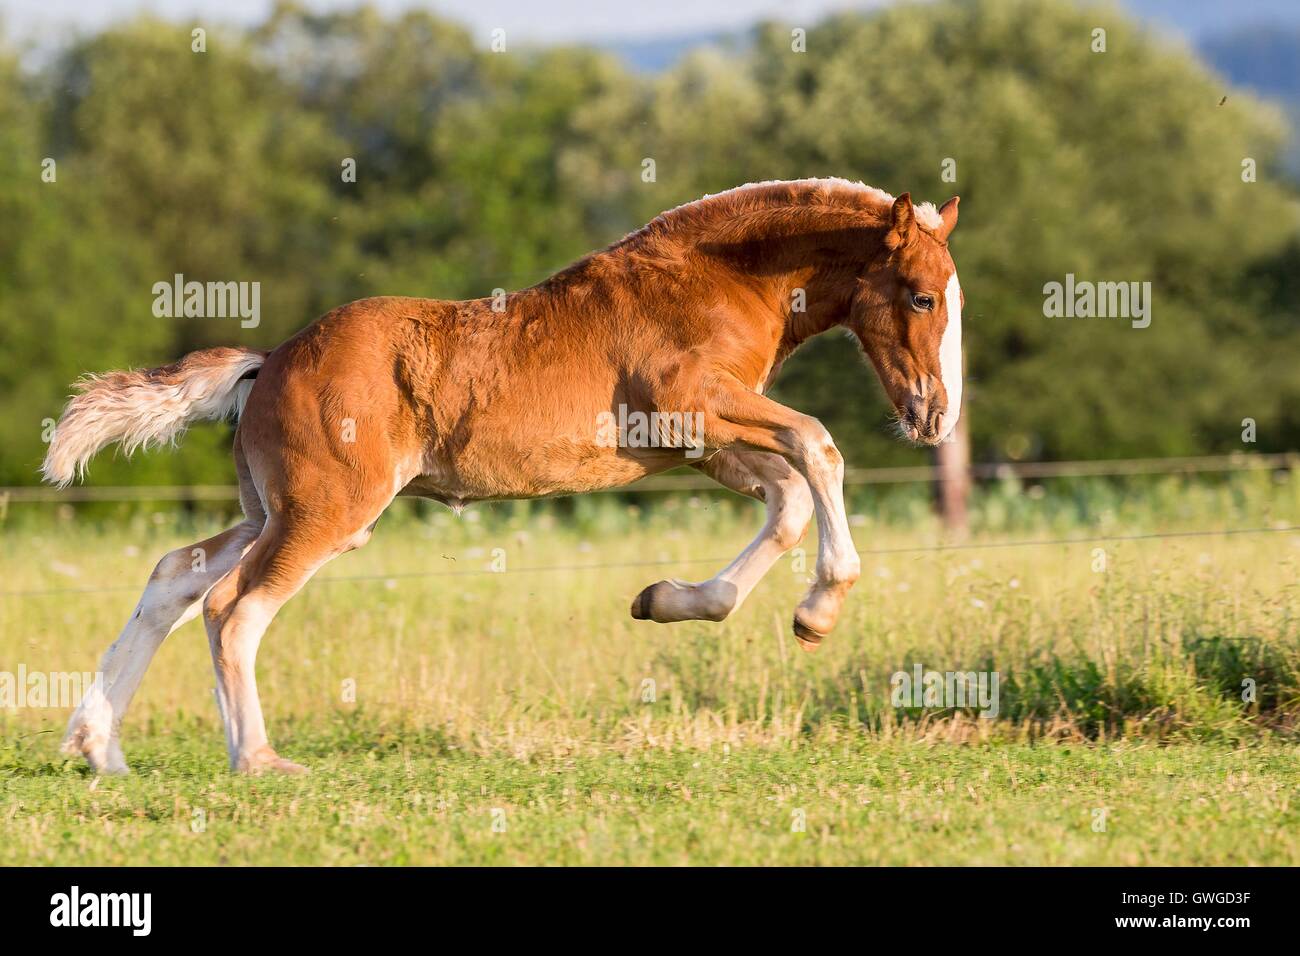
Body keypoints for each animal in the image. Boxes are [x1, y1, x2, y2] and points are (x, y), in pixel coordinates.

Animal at [43, 178, 963, 774]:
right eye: (921, 297)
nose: (933, 415)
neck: (721, 277)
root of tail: (267, 363)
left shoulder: (701, 442)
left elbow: (789, 498)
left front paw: (674, 602)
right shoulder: (695, 407)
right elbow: (818, 447)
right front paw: (822, 608)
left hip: (275, 509)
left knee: (175, 576)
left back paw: (100, 748)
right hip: (326, 512)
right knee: (232, 608)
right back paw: (258, 760)